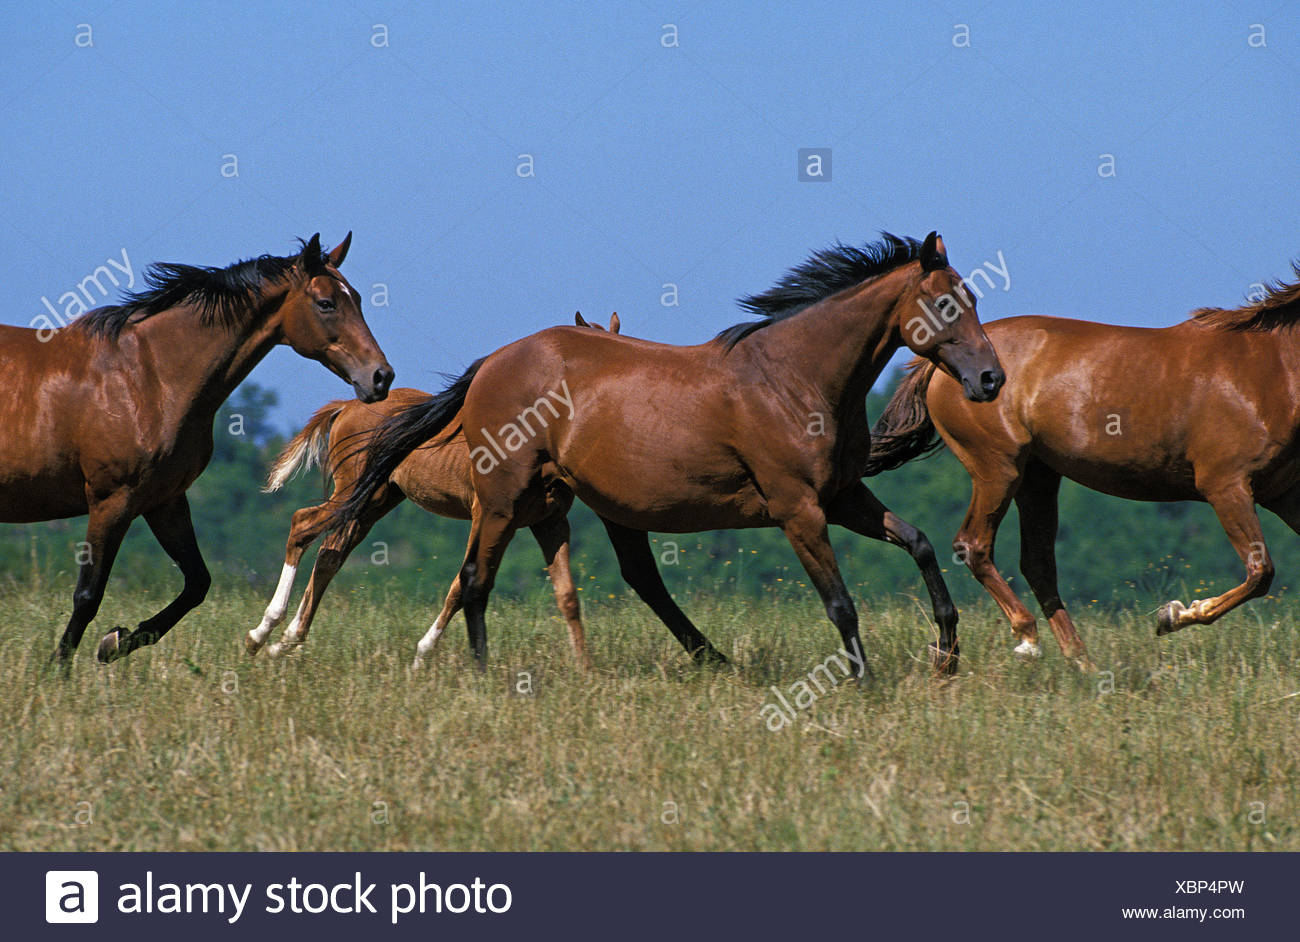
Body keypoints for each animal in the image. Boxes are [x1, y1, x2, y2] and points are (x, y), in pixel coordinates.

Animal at [2, 233, 393, 667]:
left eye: (358, 298)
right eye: (326, 303)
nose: (381, 376)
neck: (148, 376)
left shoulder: (164, 500)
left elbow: (197, 584)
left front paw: (116, 641)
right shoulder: (111, 500)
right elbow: (88, 595)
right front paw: (60, 670)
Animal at [245, 312, 622, 666]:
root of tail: (346, 406)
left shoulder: (547, 522)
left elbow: (567, 594)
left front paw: (585, 667)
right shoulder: (486, 516)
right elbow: (461, 584)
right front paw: (422, 654)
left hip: (375, 501)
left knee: (329, 556)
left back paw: (287, 641)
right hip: (352, 492)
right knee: (303, 524)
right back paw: (262, 632)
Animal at [328, 232, 1005, 681]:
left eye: (974, 299)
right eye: (948, 303)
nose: (991, 379)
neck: (793, 378)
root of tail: (491, 364)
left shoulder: (841, 497)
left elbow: (918, 542)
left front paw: (947, 652)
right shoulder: (798, 510)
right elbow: (839, 600)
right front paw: (863, 682)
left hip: (605, 506)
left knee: (641, 580)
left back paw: (715, 661)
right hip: (502, 498)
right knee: (475, 578)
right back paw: (484, 676)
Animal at [866, 262, 1300, 666]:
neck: (1268, 370)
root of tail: (937, 367)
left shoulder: (1284, 494)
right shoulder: (1226, 485)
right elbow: (1261, 572)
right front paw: (1172, 615)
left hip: (1038, 477)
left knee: (1038, 564)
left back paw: (1083, 666)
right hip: (998, 469)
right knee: (974, 545)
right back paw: (1029, 639)